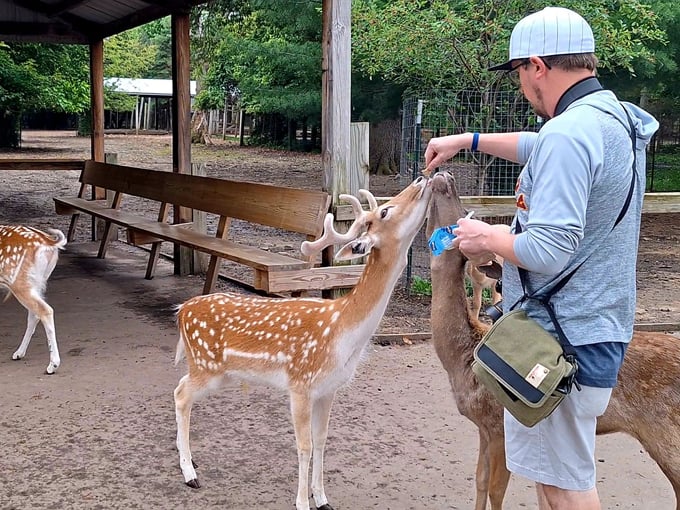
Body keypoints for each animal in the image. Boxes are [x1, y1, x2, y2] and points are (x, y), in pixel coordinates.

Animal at [0, 225, 66, 374]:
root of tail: (48, 242)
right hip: (39, 281)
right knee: (34, 314)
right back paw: (18, 353)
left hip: (20, 282)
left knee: (45, 310)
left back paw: (52, 365)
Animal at [173, 176, 433, 510]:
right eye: (385, 211)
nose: (423, 178)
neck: (341, 332)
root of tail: (182, 310)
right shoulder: (299, 384)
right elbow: (304, 445)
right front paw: (302, 502)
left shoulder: (328, 389)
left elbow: (321, 440)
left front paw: (322, 498)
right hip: (207, 365)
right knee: (180, 394)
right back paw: (189, 473)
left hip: (218, 371)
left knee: (182, 389)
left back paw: (191, 463)